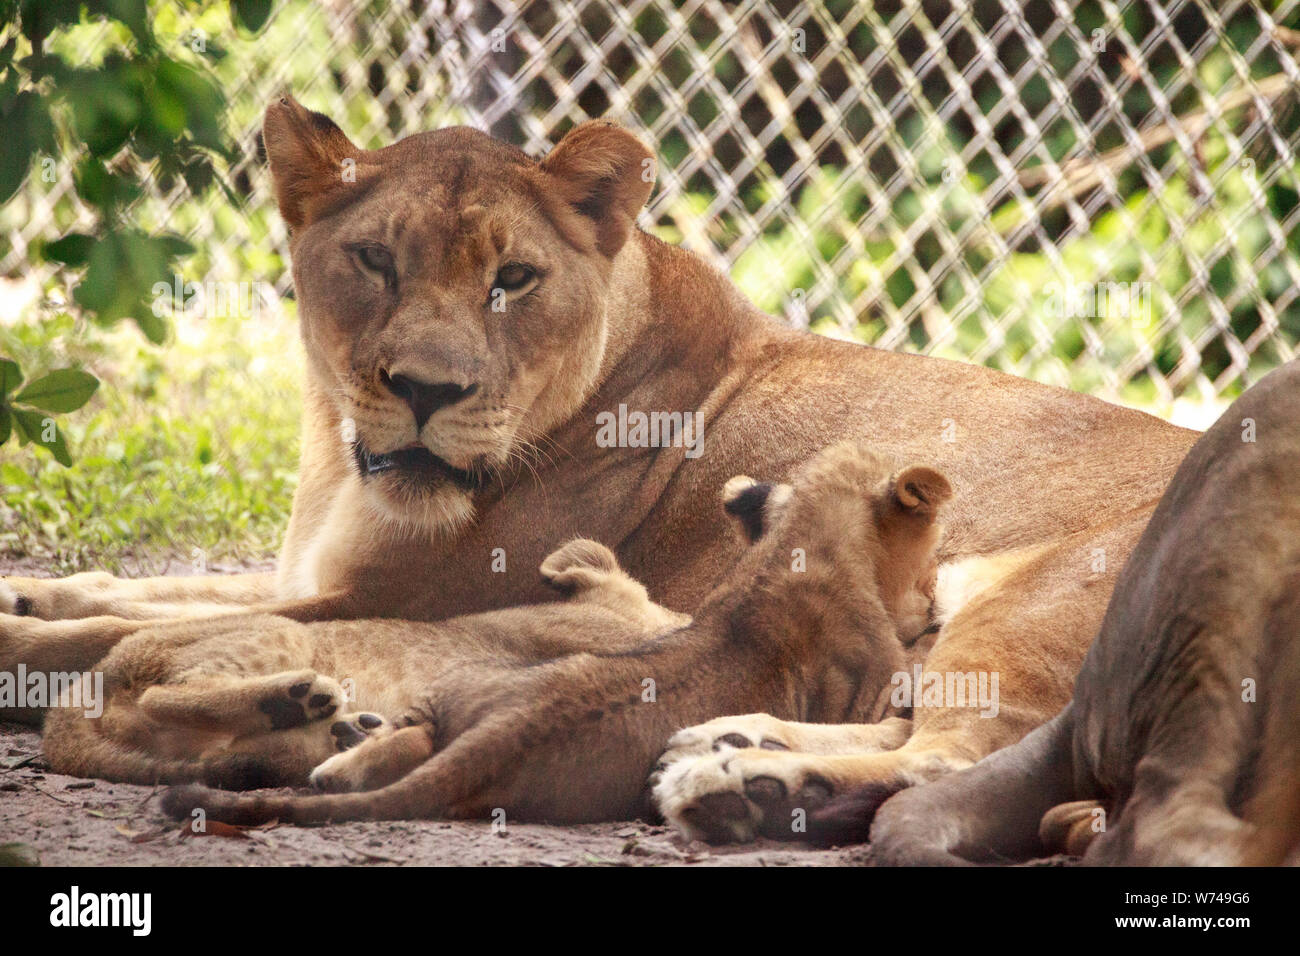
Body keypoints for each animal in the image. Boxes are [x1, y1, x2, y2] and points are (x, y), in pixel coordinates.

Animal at [42, 444, 949, 826]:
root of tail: (66, 716)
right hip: (249, 644)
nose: (934, 611)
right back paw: (305, 698)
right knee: (173, 693)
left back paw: (338, 734)